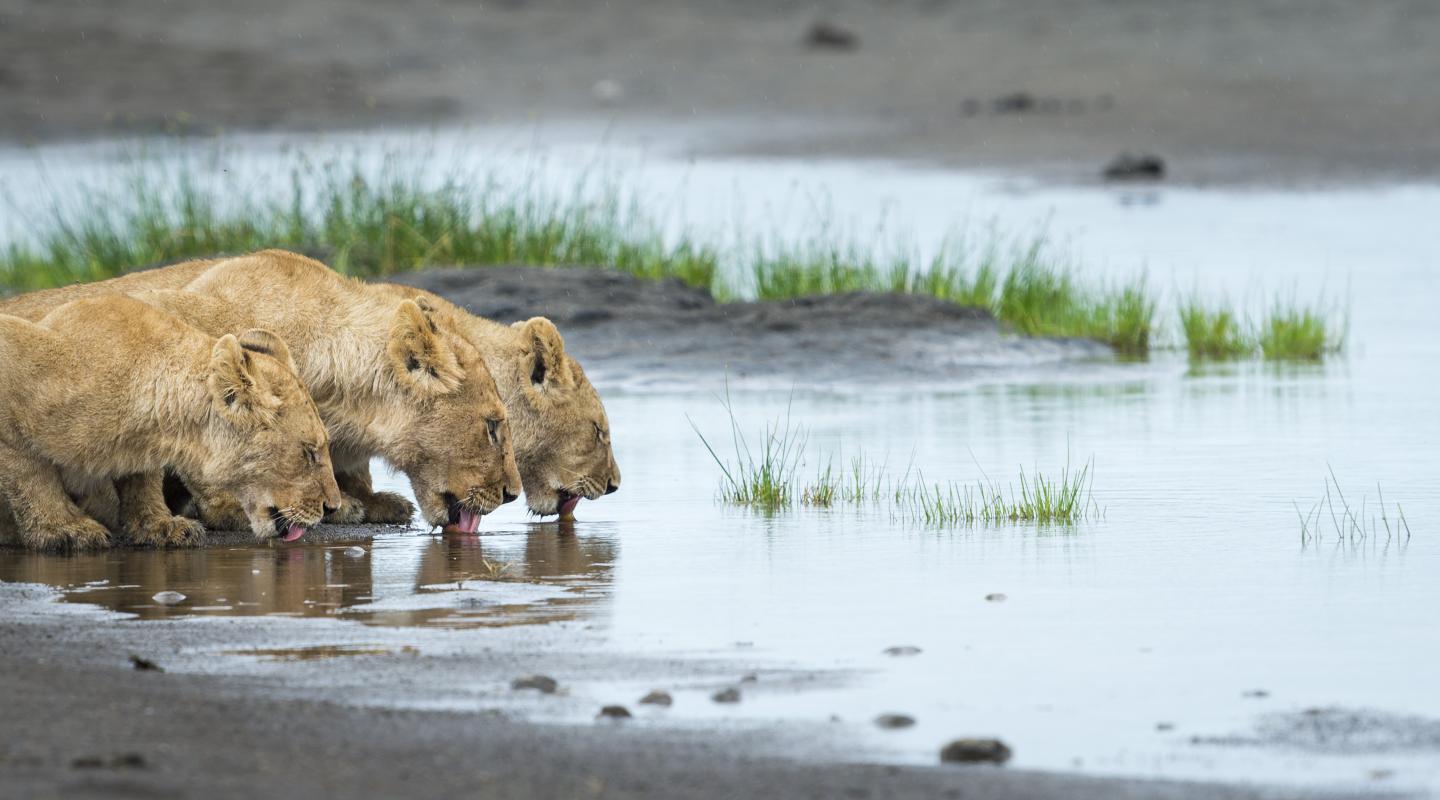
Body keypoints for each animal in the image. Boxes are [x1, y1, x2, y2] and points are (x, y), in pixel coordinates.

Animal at [0, 295, 342, 550]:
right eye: (309, 452)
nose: (332, 508)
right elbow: (30, 474)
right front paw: (63, 529)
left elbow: (142, 478)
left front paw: (159, 525)